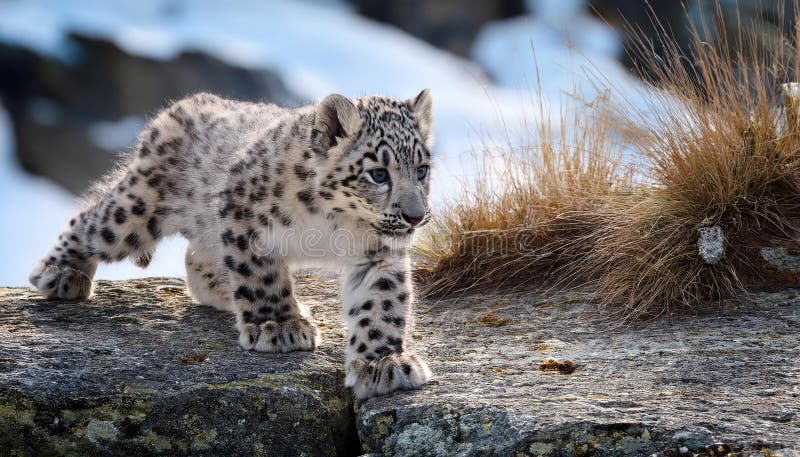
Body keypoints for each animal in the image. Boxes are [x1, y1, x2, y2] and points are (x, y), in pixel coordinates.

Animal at [28, 90, 434, 399]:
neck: (336, 224)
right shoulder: (243, 218)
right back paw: (60, 273)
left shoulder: (378, 254)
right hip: (135, 214)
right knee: (91, 219)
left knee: (196, 258)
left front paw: (383, 364)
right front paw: (279, 327)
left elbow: (381, 304)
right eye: (378, 174)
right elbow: (261, 277)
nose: (415, 216)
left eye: (422, 170)